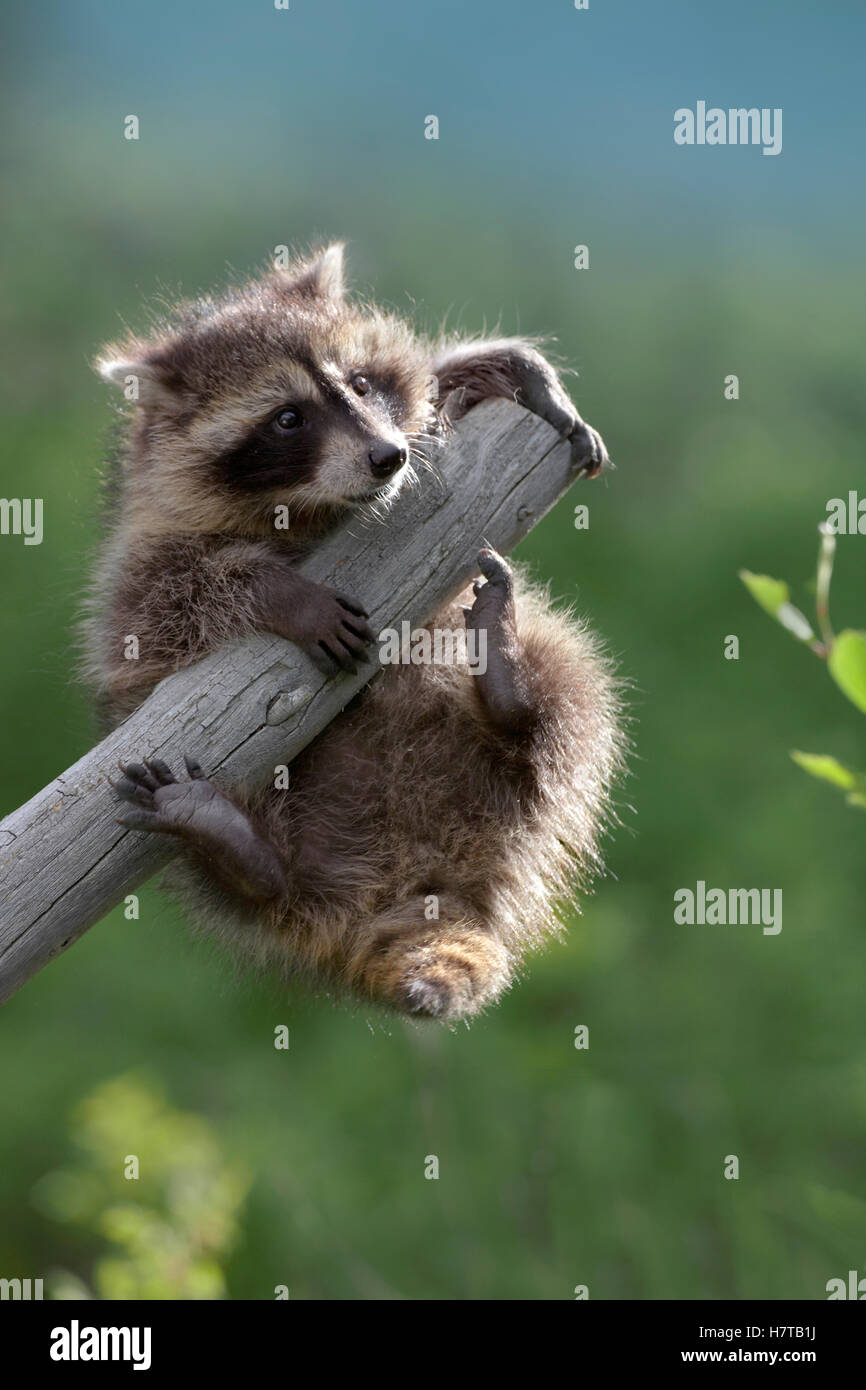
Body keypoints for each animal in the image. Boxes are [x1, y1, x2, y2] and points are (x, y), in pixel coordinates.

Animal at [85, 244, 623, 1022]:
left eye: (363, 383)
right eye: (288, 418)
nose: (386, 457)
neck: (313, 507)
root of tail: (416, 888)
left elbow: (444, 394)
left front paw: (504, 369)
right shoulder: (138, 553)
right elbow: (159, 606)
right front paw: (282, 595)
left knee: (569, 694)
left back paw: (511, 687)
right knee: (255, 887)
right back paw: (242, 853)